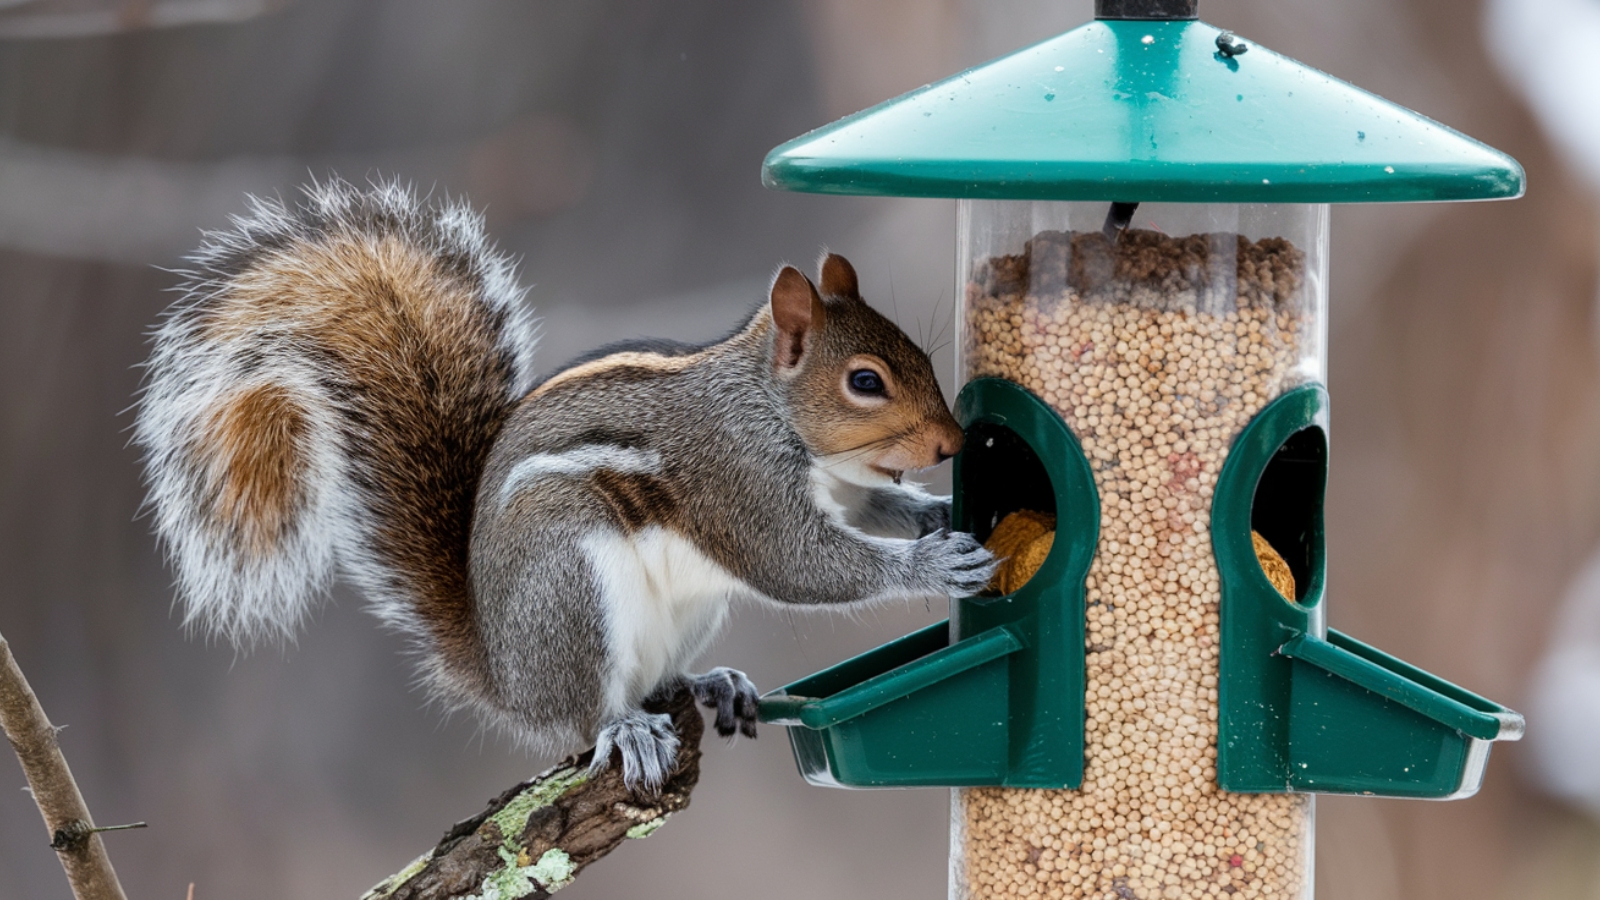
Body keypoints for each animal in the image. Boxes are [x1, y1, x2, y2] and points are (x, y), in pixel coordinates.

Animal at [134, 180, 996, 791]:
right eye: (865, 381)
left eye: (919, 350)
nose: (952, 442)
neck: (772, 411)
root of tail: (508, 678)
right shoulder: (737, 481)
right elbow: (802, 566)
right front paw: (931, 562)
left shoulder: (846, 490)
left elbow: (877, 506)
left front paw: (932, 513)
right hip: (572, 584)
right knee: (587, 718)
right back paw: (625, 729)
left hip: (684, 613)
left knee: (658, 680)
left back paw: (711, 683)